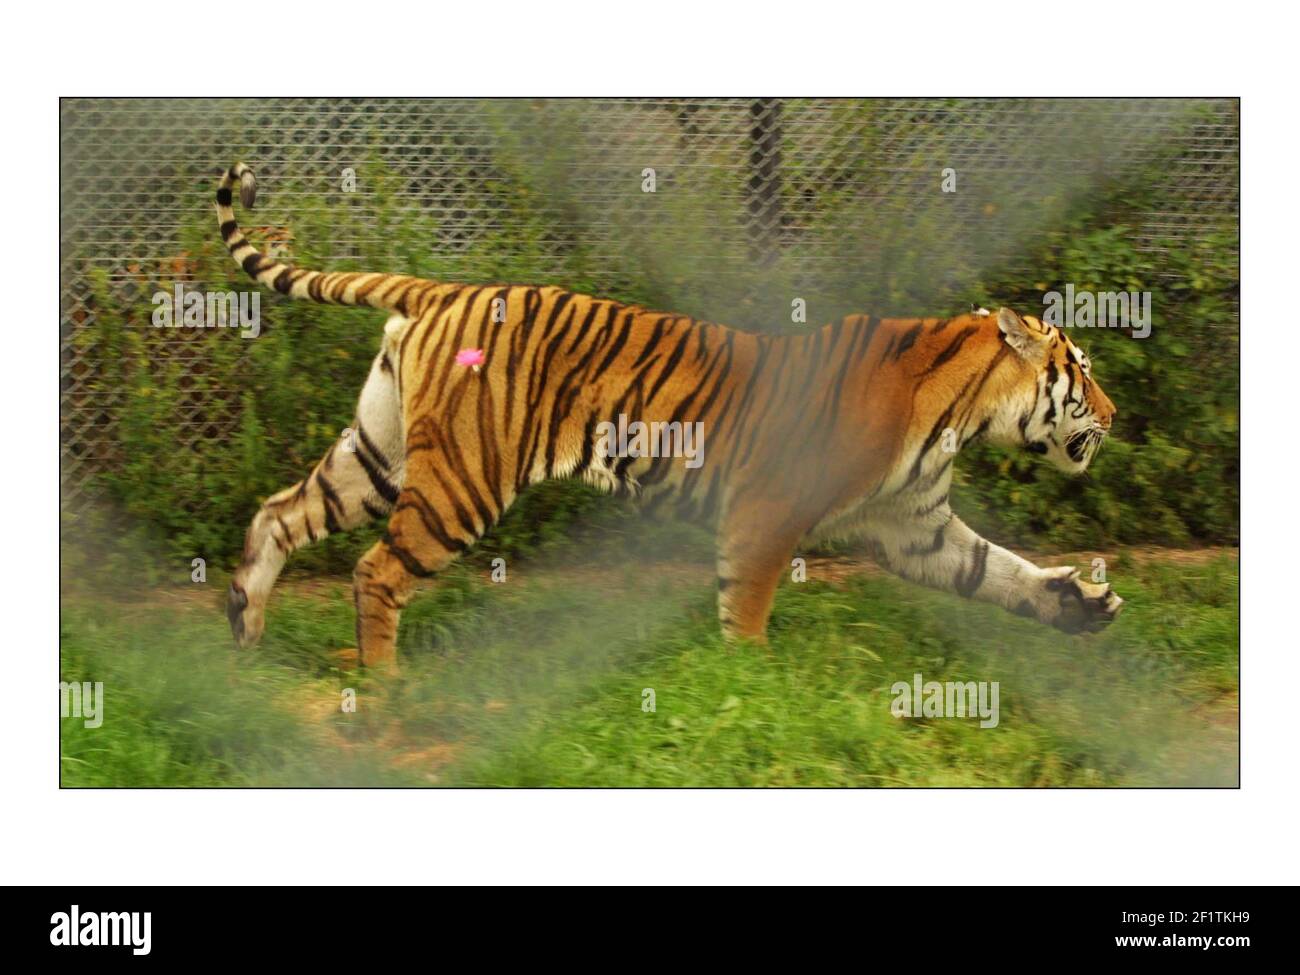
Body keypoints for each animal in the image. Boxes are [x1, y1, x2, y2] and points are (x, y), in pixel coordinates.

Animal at [218, 162, 1122, 669]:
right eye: (1080, 367)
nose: (1114, 414)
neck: (961, 411)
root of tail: (439, 289)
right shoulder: (768, 509)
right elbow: (746, 603)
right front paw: (754, 681)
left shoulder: (916, 526)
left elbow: (997, 572)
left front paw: (1080, 605)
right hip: (462, 479)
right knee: (376, 570)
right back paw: (382, 687)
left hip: (380, 455)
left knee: (278, 512)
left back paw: (243, 624)